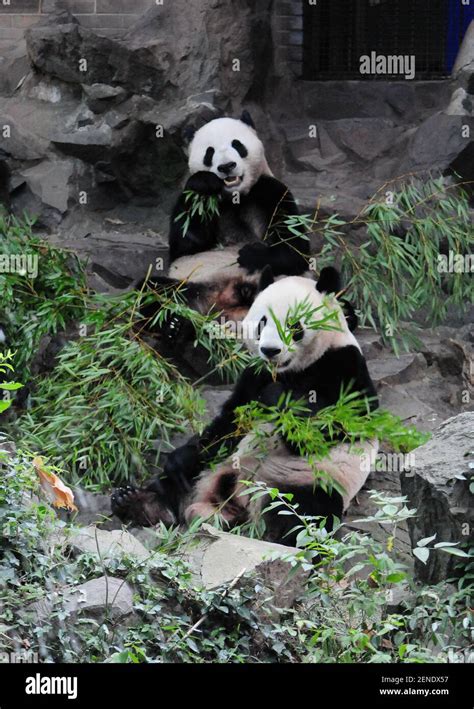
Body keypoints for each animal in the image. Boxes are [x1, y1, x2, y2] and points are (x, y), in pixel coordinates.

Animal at [111, 267, 378, 546]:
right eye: (263, 323)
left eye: (294, 325)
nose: (270, 350)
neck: (291, 370)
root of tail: (235, 506)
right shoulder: (253, 374)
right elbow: (229, 420)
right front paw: (177, 461)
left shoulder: (343, 366)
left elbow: (333, 427)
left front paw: (278, 397)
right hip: (219, 464)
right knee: (184, 476)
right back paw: (140, 502)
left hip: (309, 479)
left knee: (302, 512)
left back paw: (280, 537)